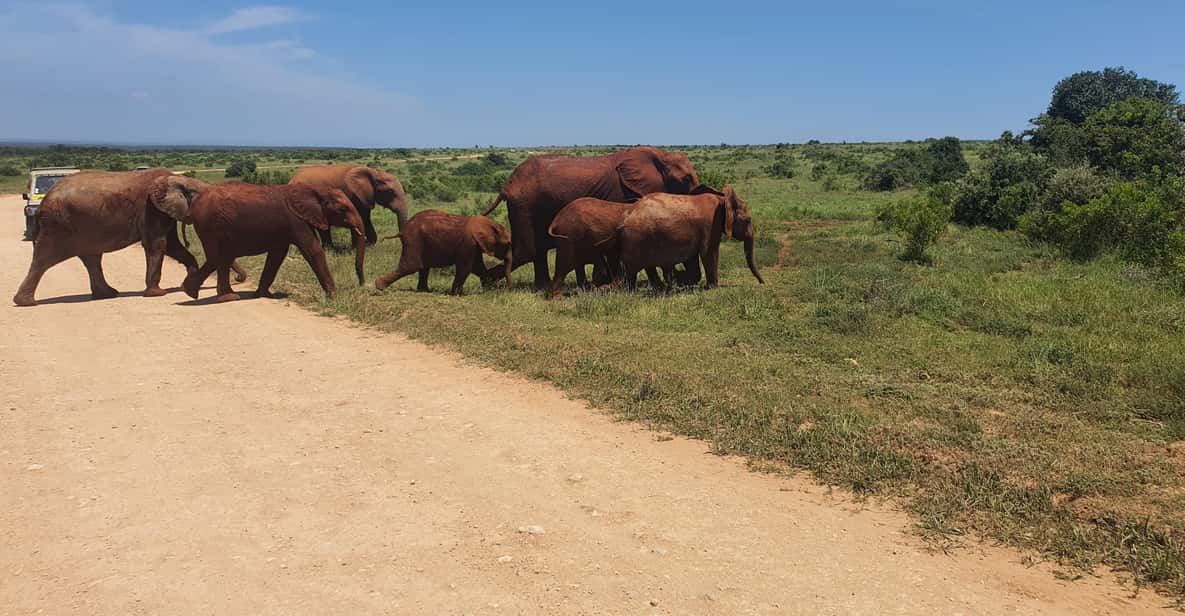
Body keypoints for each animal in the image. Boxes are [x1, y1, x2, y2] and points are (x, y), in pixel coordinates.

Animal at [13, 168, 201, 306]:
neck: (175, 178)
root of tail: (43, 201)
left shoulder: (162, 211)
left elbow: (172, 246)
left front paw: (188, 285)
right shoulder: (152, 210)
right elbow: (158, 244)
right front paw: (158, 294)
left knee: (91, 259)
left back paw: (107, 294)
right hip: (57, 226)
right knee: (43, 259)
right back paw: (26, 303)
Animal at [148, 178, 367, 302]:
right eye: (342, 209)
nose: (362, 284)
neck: (313, 189)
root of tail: (193, 207)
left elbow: (277, 256)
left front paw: (264, 295)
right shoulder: (296, 221)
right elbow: (312, 250)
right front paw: (334, 297)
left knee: (220, 258)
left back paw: (193, 292)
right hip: (212, 225)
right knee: (219, 257)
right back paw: (222, 296)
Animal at [375, 210, 512, 295]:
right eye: (507, 244)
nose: (506, 290)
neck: (489, 224)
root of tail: (402, 231)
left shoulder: (475, 245)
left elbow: (477, 267)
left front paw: (489, 290)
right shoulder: (468, 244)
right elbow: (466, 268)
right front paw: (456, 294)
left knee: (423, 267)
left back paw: (425, 291)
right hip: (414, 240)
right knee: (411, 266)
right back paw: (379, 286)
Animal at [481, 146, 708, 290]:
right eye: (685, 179)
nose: (682, 279)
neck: (660, 154)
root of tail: (507, 185)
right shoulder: (622, 192)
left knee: (537, 250)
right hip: (524, 205)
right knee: (527, 251)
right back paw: (488, 283)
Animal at [614, 185, 765, 290]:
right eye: (748, 220)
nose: (762, 283)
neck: (722, 199)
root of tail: (626, 216)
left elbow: (694, 257)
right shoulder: (711, 225)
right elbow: (709, 252)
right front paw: (713, 287)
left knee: (645, 267)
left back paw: (661, 288)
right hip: (637, 239)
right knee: (634, 269)